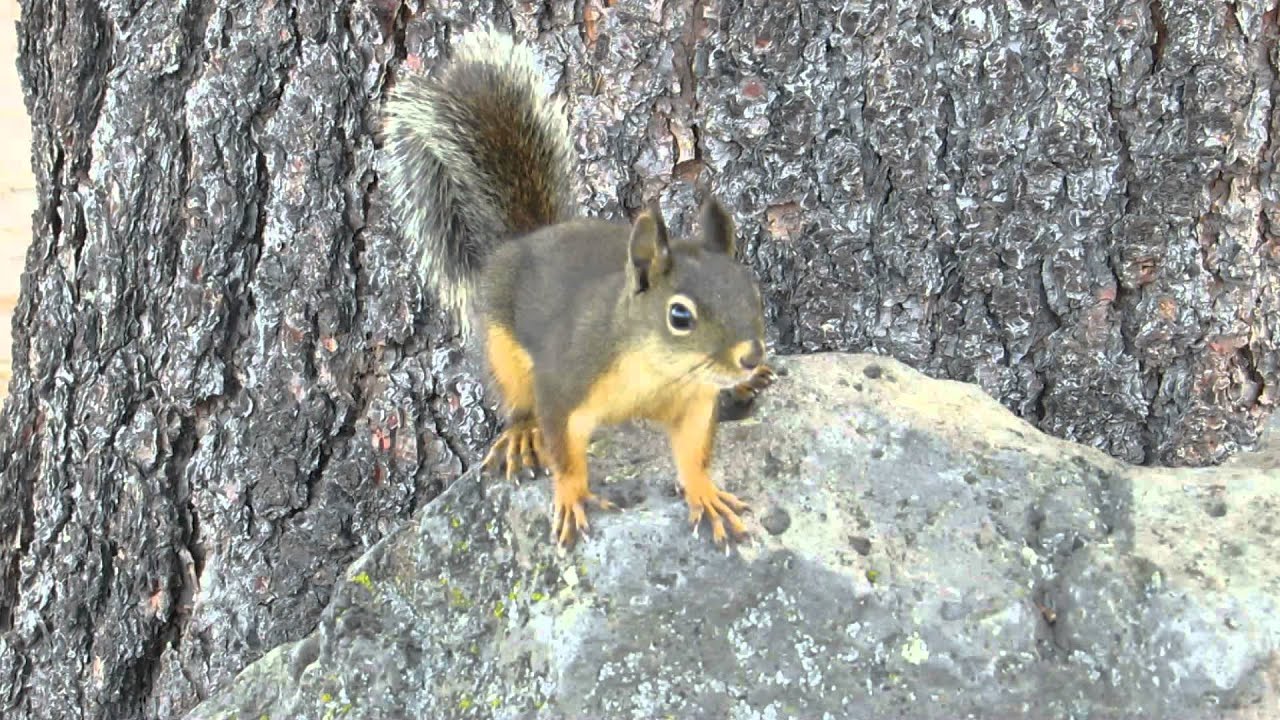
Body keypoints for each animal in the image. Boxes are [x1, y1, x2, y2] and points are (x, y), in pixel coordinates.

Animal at [381, 26, 774, 547]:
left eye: (754, 293)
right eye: (680, 315)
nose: (749, 355)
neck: (659, 372)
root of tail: (525, 241)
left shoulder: (694, 403)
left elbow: (694, 453)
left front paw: (706, 494)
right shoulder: (565, 381)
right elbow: (563, 449)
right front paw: (571, 495)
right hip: (502, 349)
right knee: (515, 397)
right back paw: (521, 433)